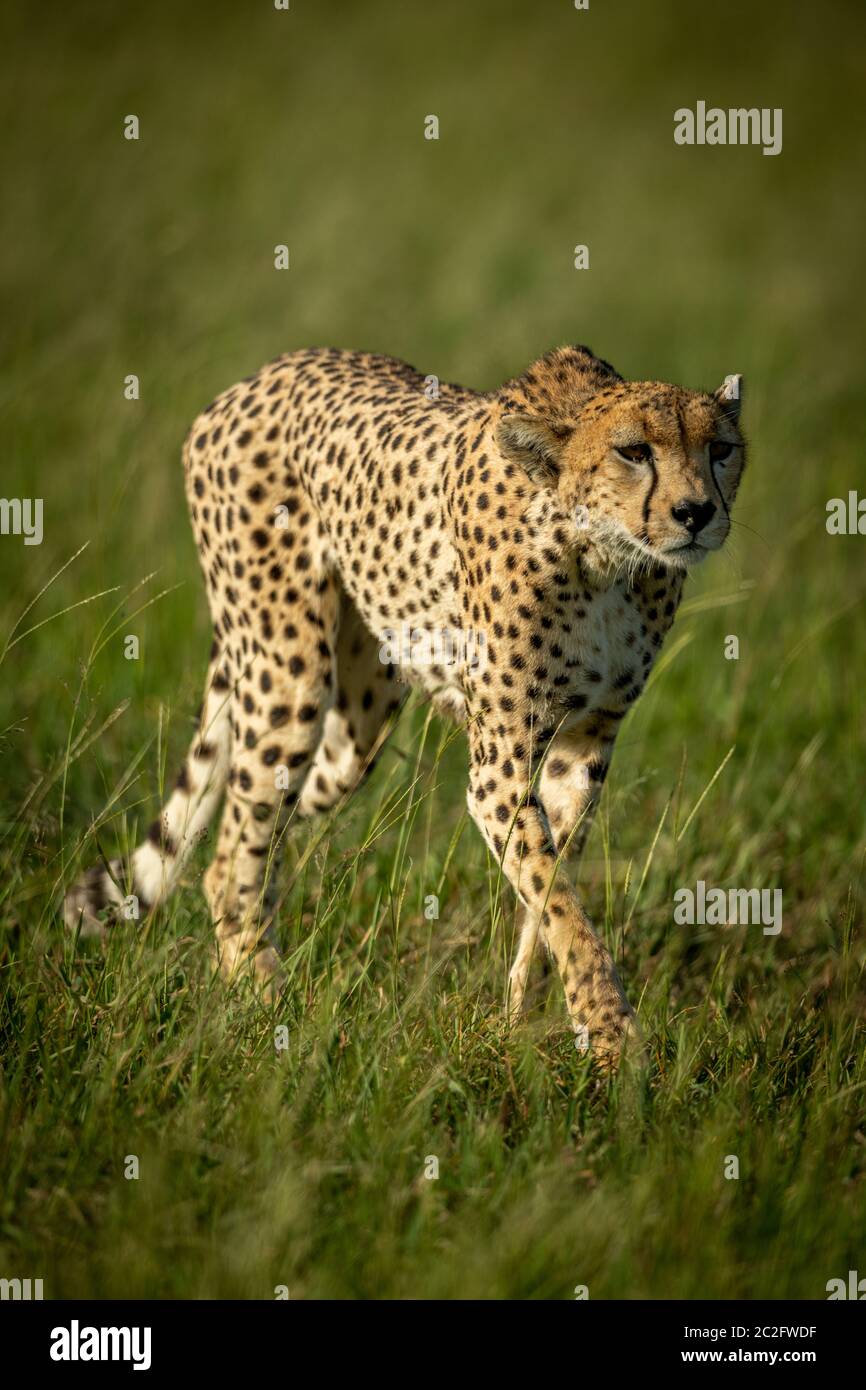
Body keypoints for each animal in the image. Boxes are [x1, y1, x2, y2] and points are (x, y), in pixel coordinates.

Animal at [64, 343, 745, 1068]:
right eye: (634, 451)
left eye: (721, 448)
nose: (697, 513)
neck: (607, 555)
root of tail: (262, 374)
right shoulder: (499, 765)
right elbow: (556, 895)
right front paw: (613, 1036)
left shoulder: (582, 746)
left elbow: (549, 889)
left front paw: (525, 1020)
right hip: (288, 673)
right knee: (228, 857)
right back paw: (264, 997)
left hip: (354, 729)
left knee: (268, 824)